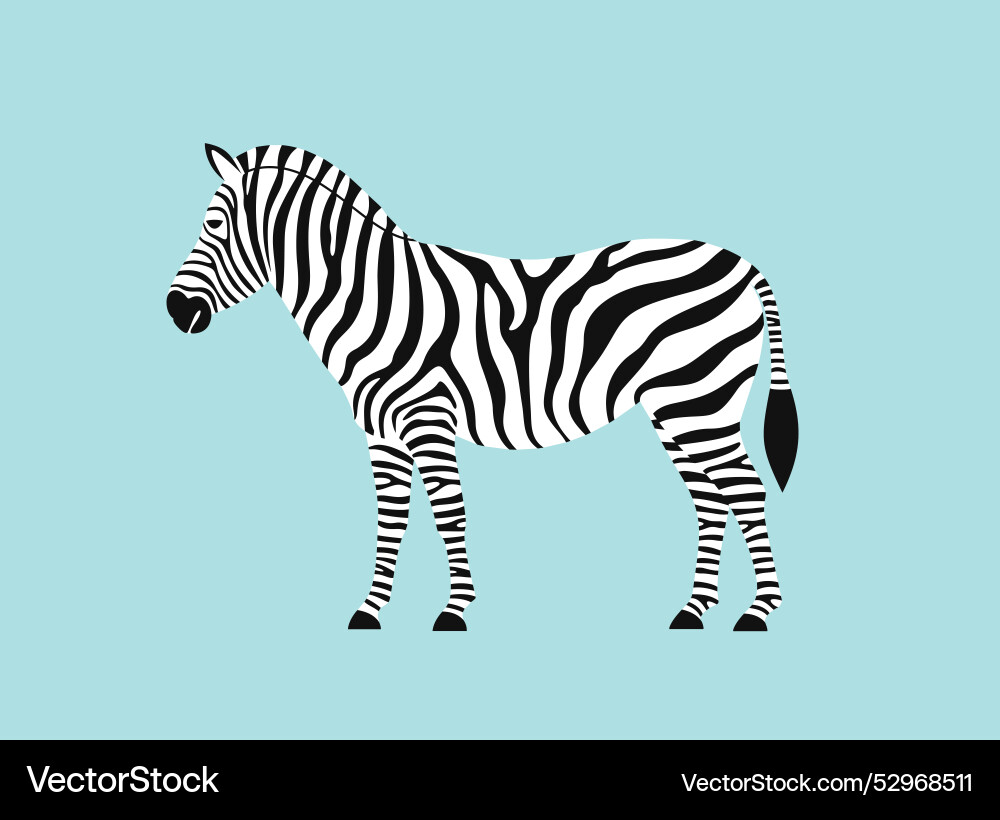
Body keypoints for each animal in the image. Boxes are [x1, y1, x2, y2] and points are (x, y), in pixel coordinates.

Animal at [166, 144, 799, 633]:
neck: (376, 298)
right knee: (711, 499)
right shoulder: (381, 434)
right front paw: (371, 611)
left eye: (213, 225)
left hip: (701, 404)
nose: (174, 309)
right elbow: (392, 518)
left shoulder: (428, 417)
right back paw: (693, 612)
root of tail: (744, 265)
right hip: (676, 410)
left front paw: (453, 611)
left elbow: (450, 512)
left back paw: (758, 612)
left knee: (746, 492)